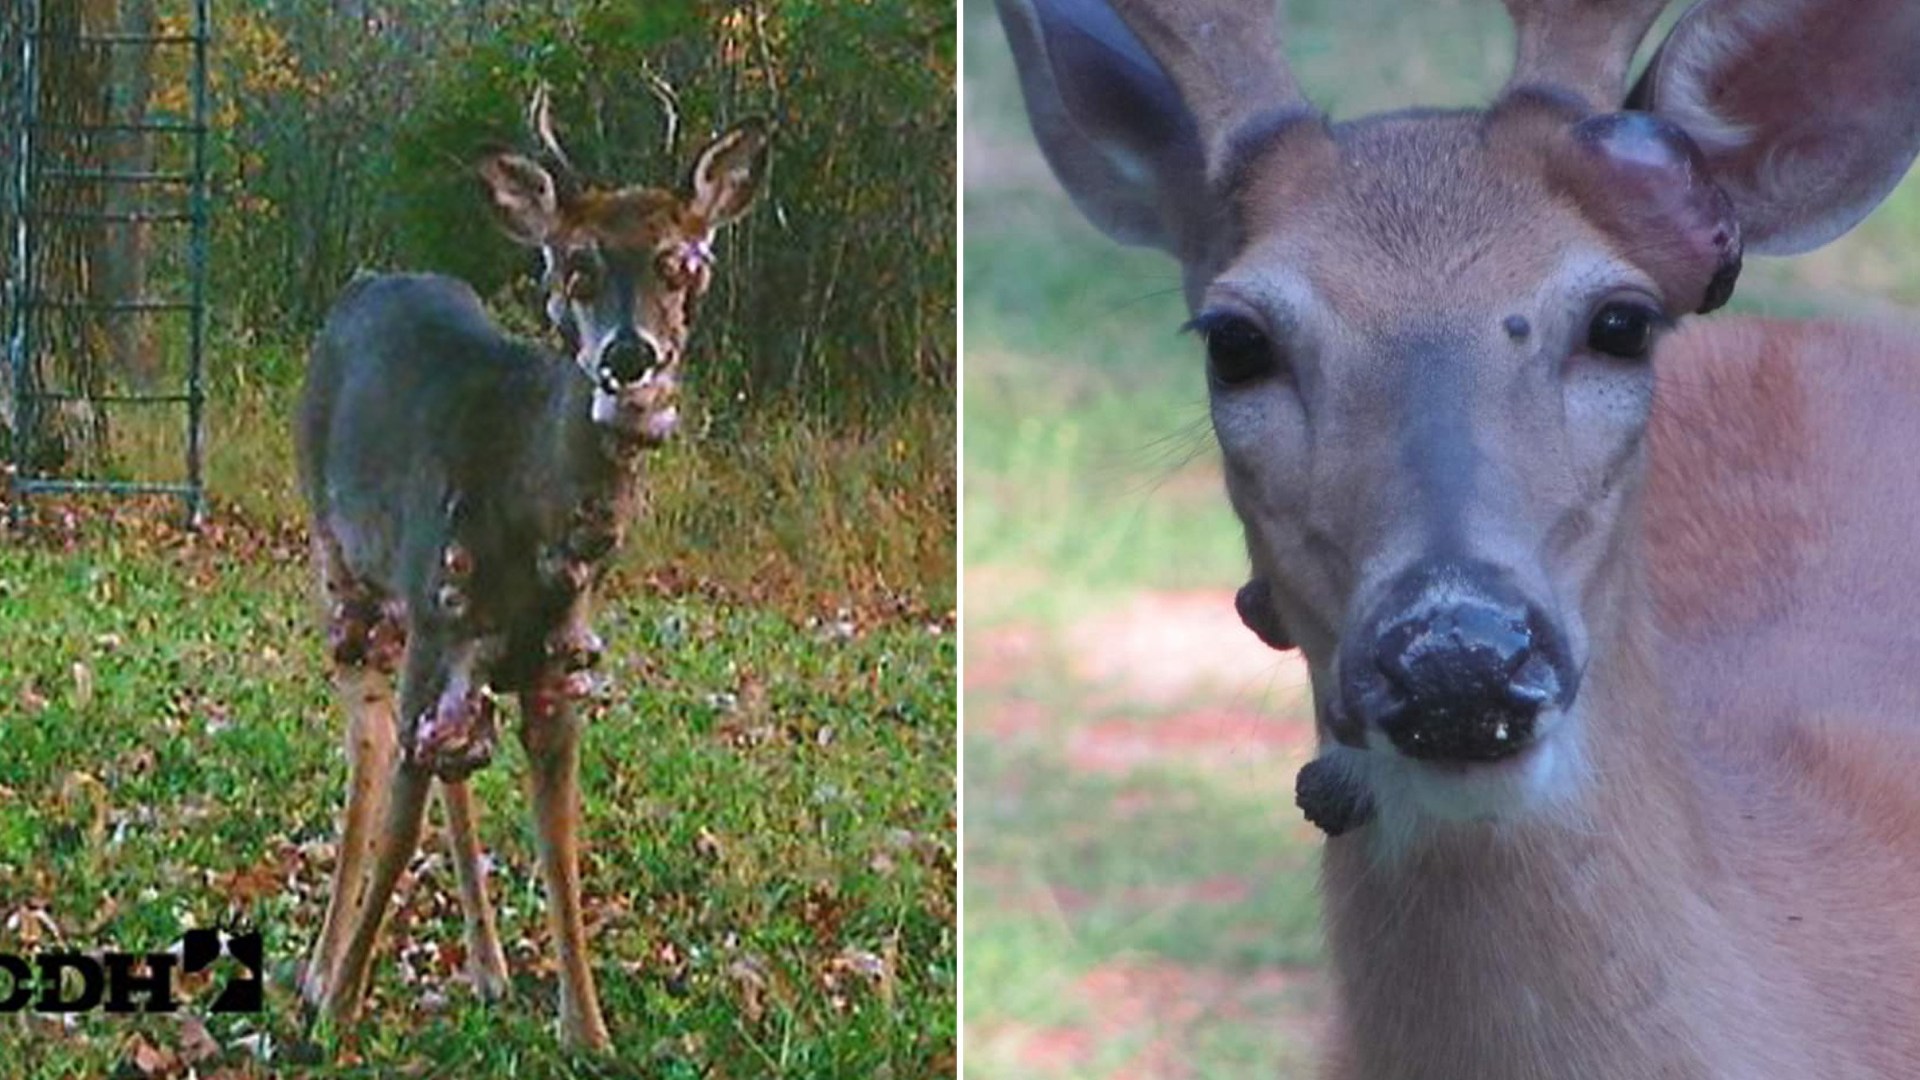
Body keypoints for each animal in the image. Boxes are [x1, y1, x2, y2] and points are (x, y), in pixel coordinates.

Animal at [292, 87, 767, 1050]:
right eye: (575, 265)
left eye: (680, 264)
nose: (628, 356)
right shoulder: (436, 606)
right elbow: (399, 823)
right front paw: (340, 1010)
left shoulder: (558, 663)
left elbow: (559, 842)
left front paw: (587, 1031)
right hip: (347, 571)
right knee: (369, 744)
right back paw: (321, 973)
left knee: (450, 767)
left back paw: (487, 969)